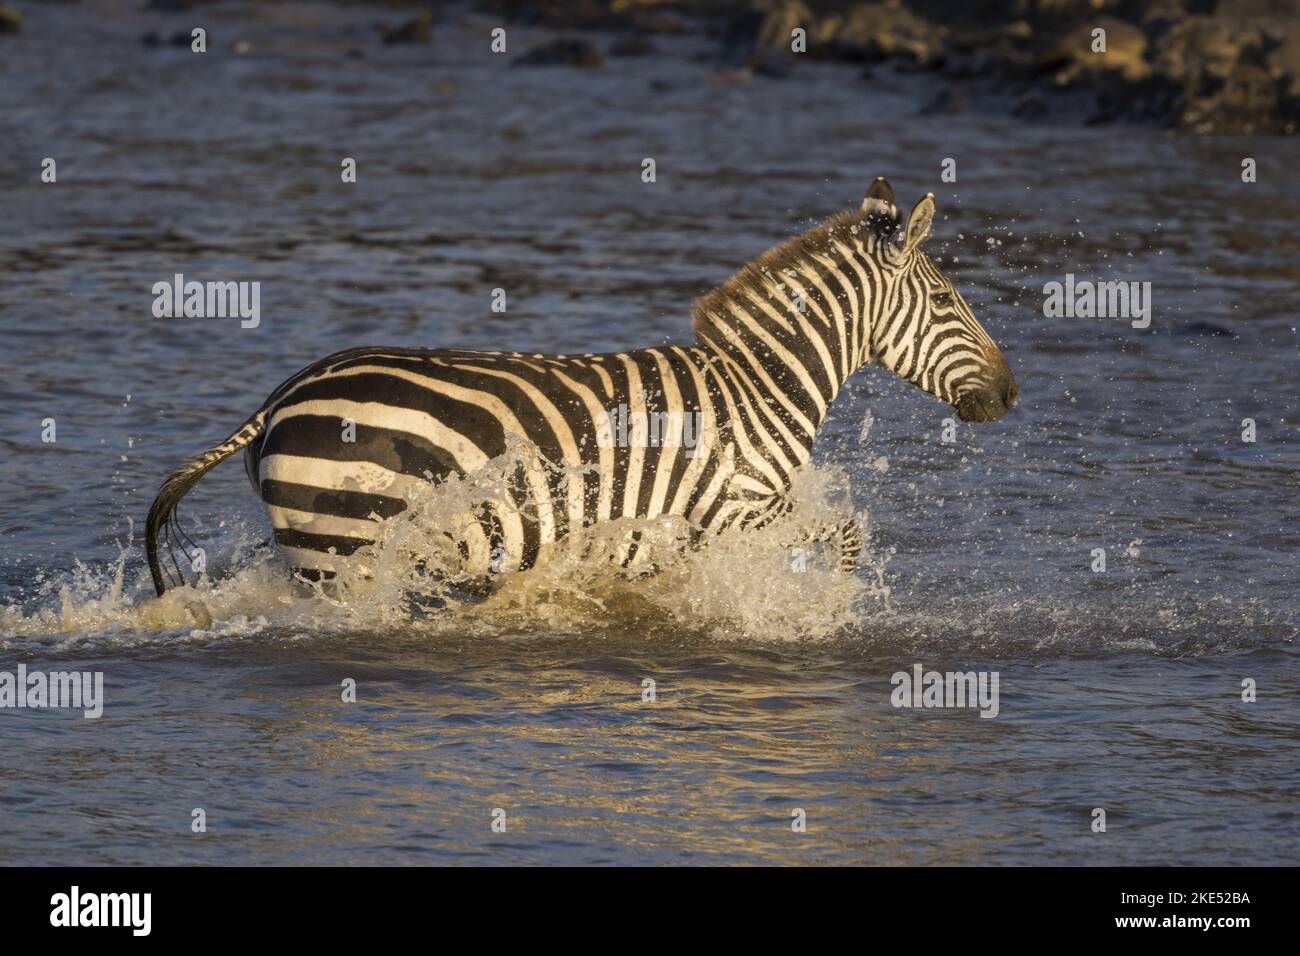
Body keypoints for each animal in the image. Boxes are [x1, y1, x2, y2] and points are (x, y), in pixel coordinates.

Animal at [145, 178, 1017, 597]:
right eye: (948, 301)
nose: (1010, 395)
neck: (757, 388)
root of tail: (283, 392)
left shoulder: (676, 533)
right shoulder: (733, 510)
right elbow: (847, 531)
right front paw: (828, 607)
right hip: (342, 549)